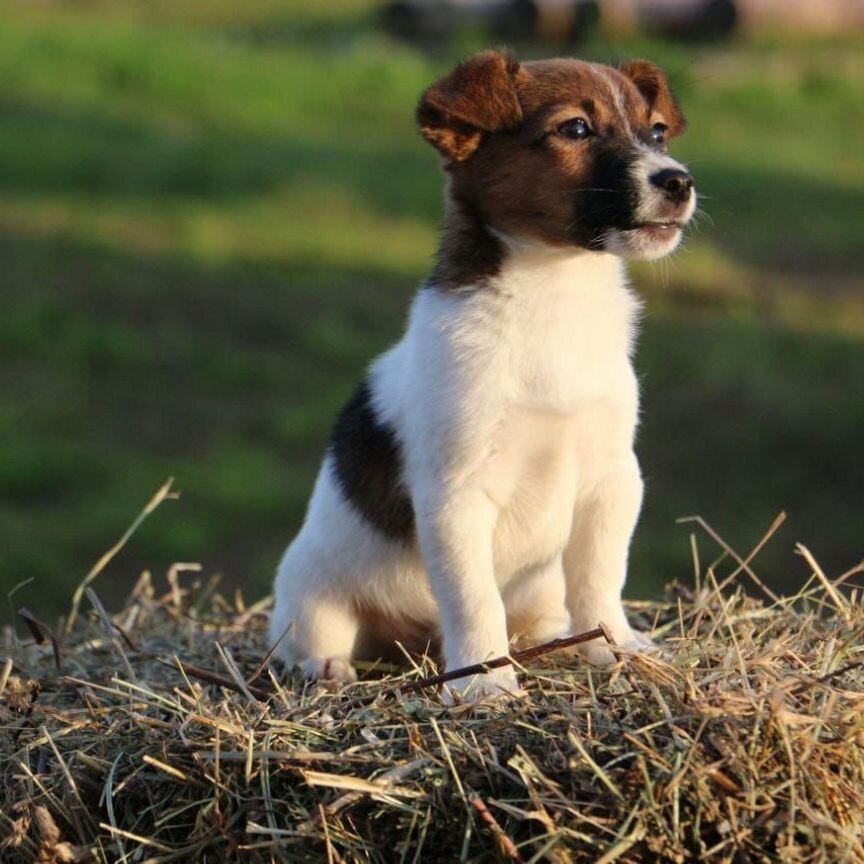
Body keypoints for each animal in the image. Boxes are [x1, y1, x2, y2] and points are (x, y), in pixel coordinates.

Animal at [270, 50, 696, 700]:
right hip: (311, 591)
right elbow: (475, 601)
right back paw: (327, 668)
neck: (554, 291)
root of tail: (417, 642)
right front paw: (484, 684)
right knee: (317, 634)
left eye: (657, 133)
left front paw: (616, 645)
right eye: (575, 128)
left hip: (541, 593)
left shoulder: (613, 476)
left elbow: (601, 575)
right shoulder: (457, 494)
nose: (679, 181)